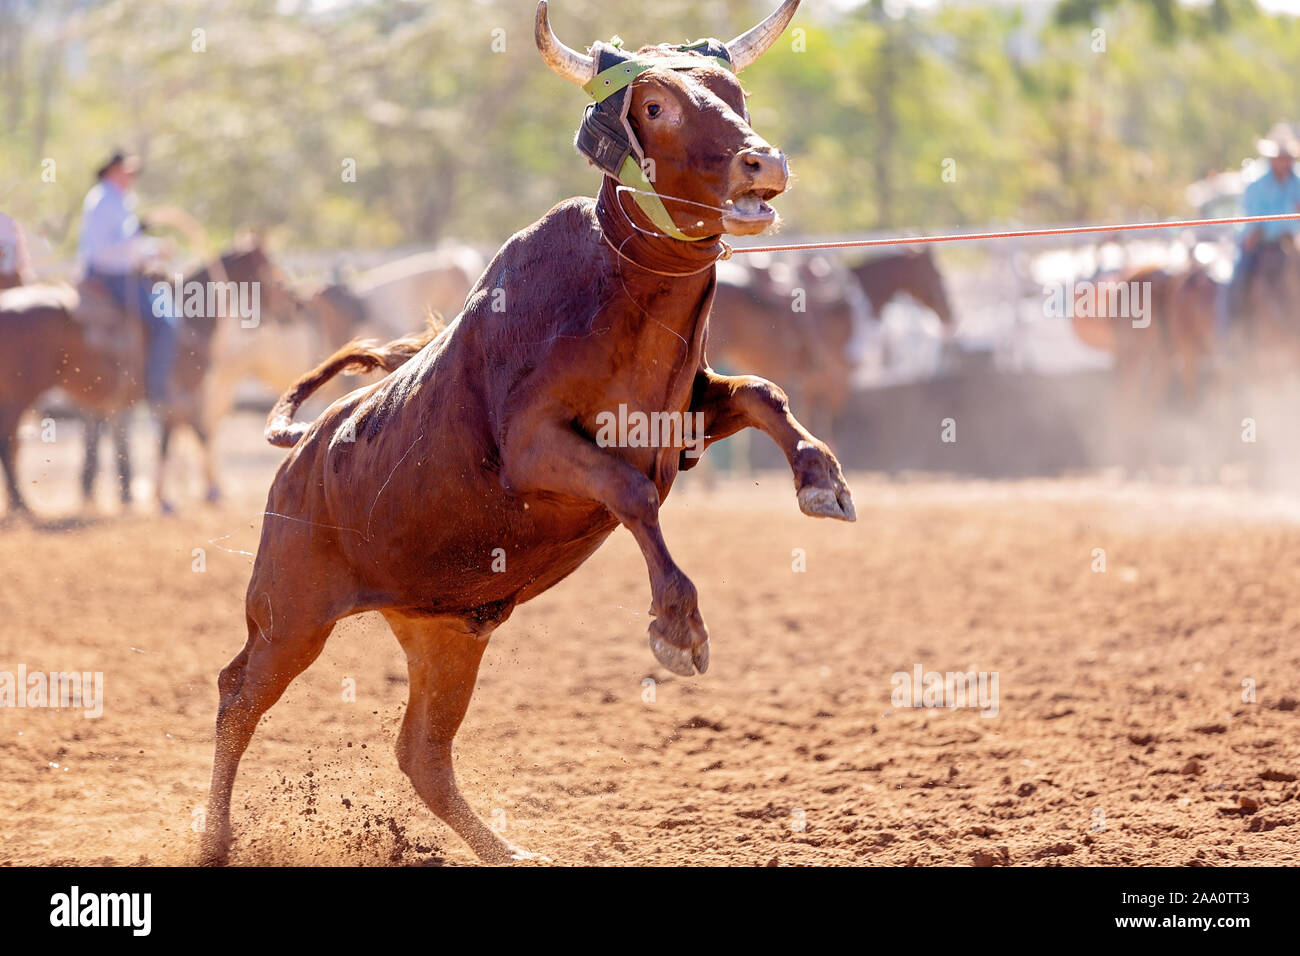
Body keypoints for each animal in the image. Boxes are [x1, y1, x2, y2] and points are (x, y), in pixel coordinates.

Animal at [203, 0, 854, 865]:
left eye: (733, 91)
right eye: (654, 105)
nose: (762, 163)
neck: (618, 294)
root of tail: (307, 452)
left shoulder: (680, 419)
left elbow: (762, 395)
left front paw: (823, 480)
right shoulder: (536, 449)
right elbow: (631, 493)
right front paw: (677, 626)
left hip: (446, 630)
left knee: (421, 753)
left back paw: (504, 851)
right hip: (290, 611)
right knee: (238, 695)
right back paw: (214, 840)